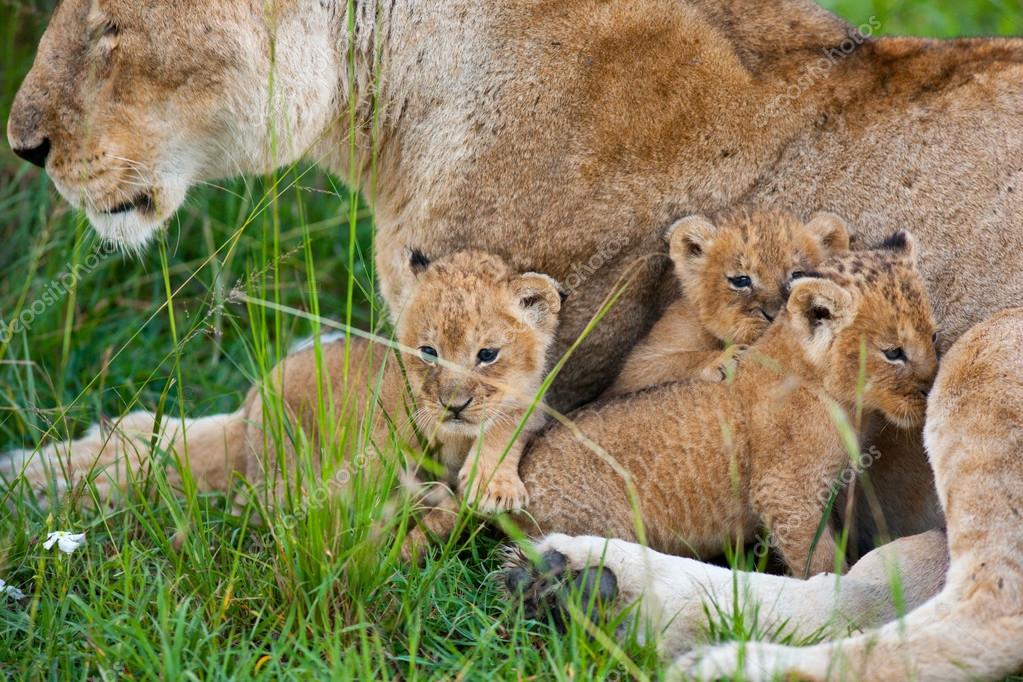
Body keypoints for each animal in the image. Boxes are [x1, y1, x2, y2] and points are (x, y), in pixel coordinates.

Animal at [1, 250, 563, 554]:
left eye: (487, 354)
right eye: (428, 352)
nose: (453, 404)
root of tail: (249, 407)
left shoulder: (536, 402)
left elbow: (507, 423)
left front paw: (491, 485)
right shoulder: (373, 449)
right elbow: (382, 495)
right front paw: (428, 512)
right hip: (282, 445)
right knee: (260, 502)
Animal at [509, 232, 937, 577]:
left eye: (933, 336)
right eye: (893, 353)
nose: (931, 387)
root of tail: (524, 468)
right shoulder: (784, 490)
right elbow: (816, 559)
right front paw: (835, 592)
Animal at [605, 208, 850, 396]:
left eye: (797, 275)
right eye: (741, 280)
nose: (774, 315)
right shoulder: (632, 371)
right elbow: (678, 361)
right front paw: (724, 359)